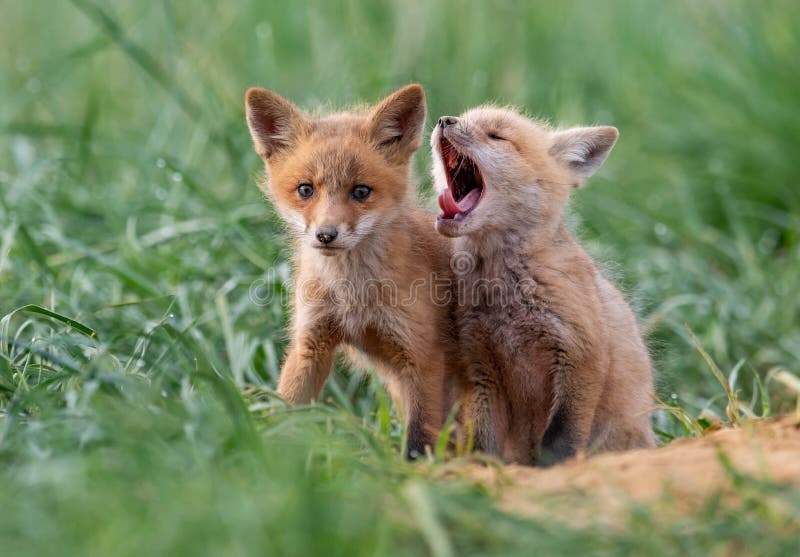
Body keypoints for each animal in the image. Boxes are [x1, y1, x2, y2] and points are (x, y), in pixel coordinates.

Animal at [244, 84, 458, 459]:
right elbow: (287, 410)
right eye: (305, 189)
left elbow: (419, 441)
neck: (351, 293)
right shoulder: (310, 342)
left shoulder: (422, 355)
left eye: (361, 191)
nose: (326, 235)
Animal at [430, 106, 656, 465]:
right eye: (464, 117)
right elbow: (481, 443)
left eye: (496, 136)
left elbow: (559, 441)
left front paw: (555, 468)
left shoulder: (581, 355)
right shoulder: (480, 368)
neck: (504, 296)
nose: (444, 120)